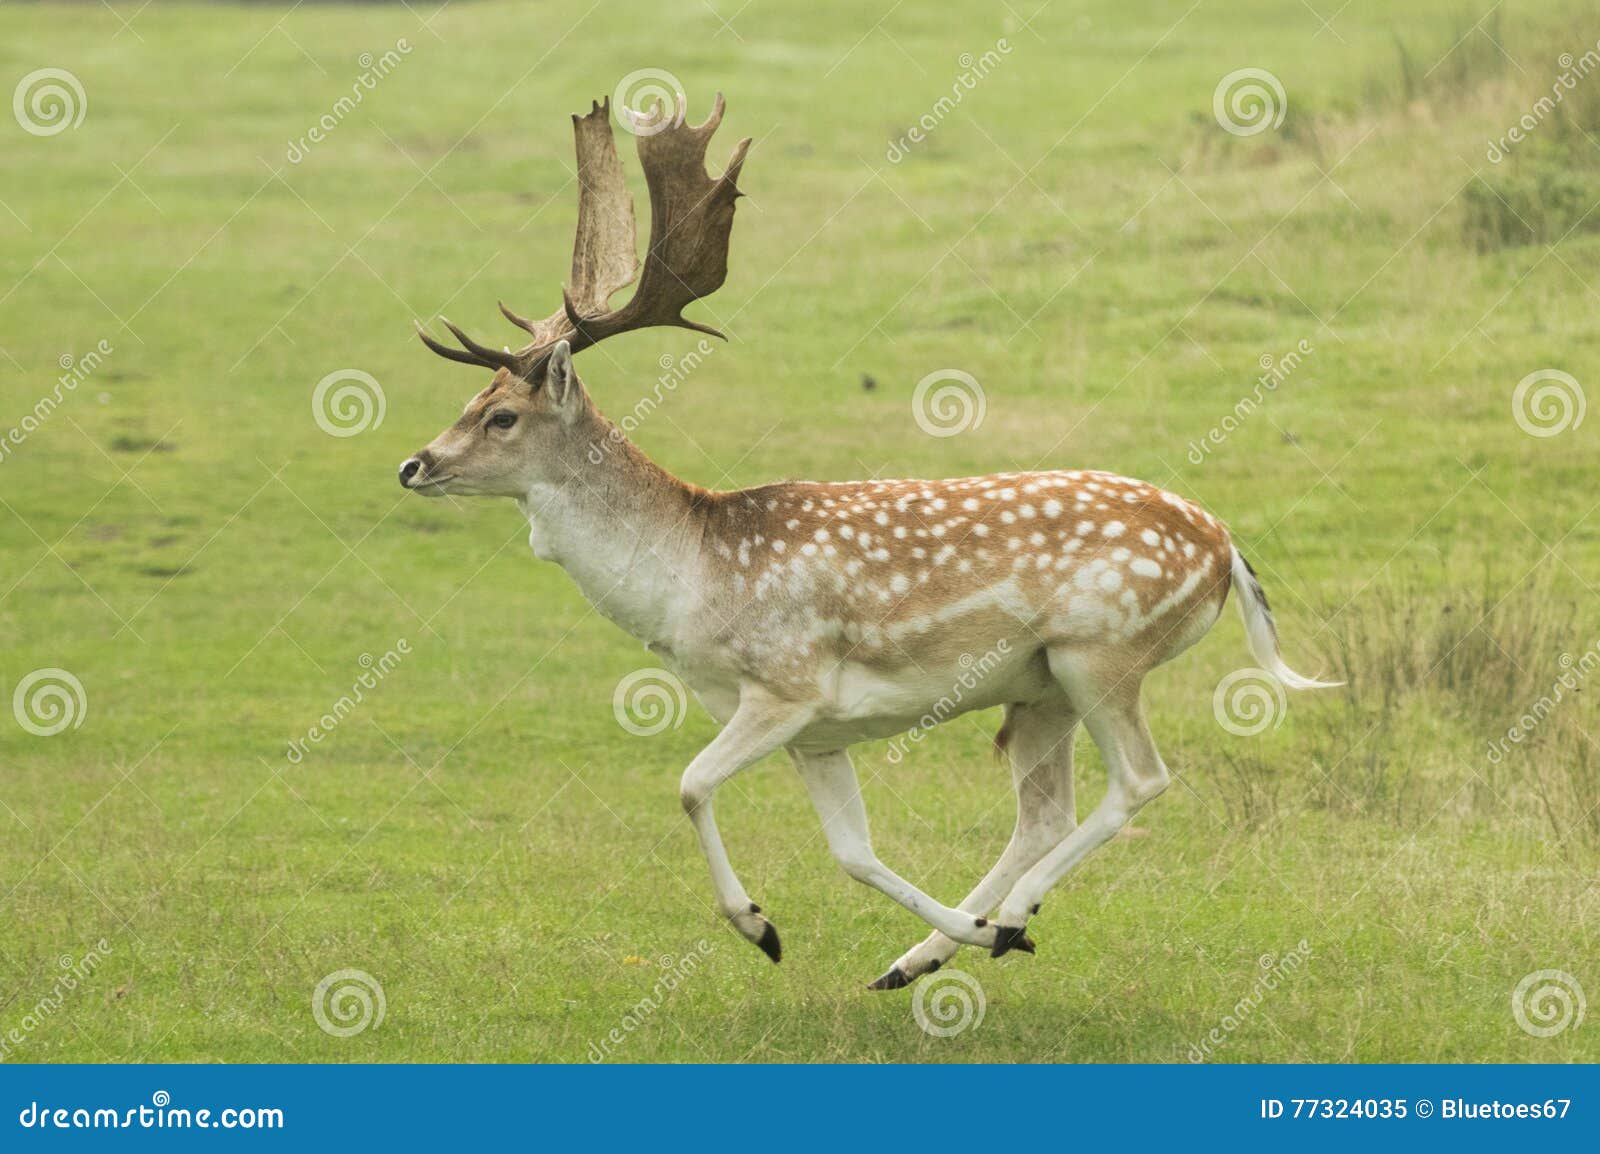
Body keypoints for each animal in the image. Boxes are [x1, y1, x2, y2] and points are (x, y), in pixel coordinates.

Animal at [399, 94, 1338, 989]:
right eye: (471, 398)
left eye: (502, 414)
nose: (414, 464)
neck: (689, 582)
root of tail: (1225, 547)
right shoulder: (819, 732)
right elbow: (852, 851)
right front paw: (887, 936)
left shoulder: (788, 686)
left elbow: (691, 785)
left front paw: (761, 928)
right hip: (1041, 690)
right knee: (1045, 812)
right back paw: (935, 953)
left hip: (1101, 651)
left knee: (1140, 780)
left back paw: (1008, 919)